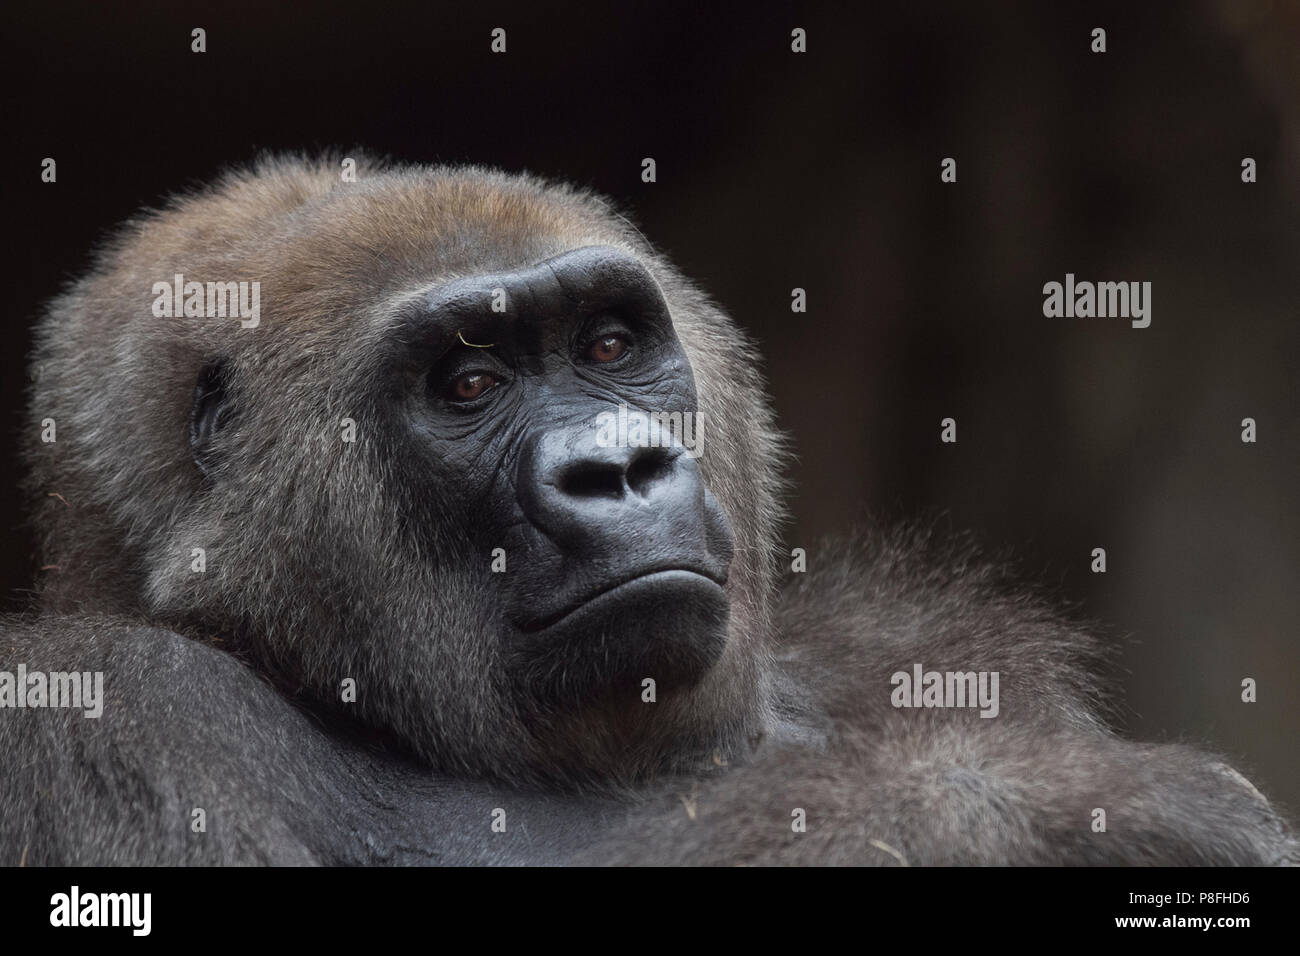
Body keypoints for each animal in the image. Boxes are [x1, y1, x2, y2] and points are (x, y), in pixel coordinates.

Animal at [0, 155, 1294, 865]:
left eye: (609, 345)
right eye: (468, 384)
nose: (619, 469)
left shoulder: (914, 645)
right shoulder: (97, 707)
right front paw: (1060, 808)